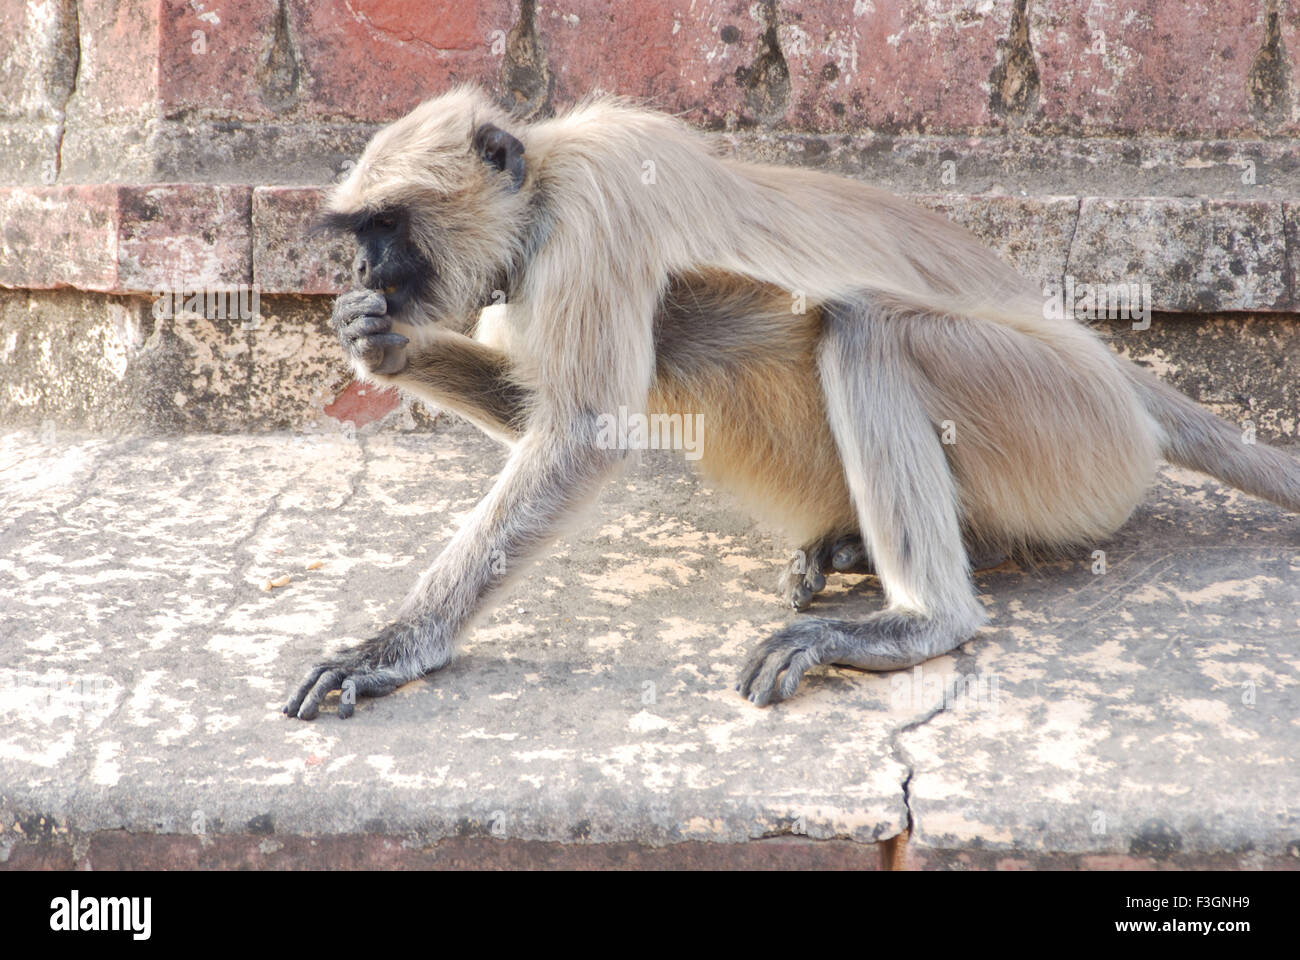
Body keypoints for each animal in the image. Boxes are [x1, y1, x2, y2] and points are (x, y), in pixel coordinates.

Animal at [284, 86, 1300, 719]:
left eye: (388, 228)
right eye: (363, 235)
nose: (366, 271)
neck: (546, 179)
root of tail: (1111, 370)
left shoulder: (599, 210)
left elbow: (589, 432)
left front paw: (395, 646)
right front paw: (380, 341)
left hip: (1071, 419)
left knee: (867, 328)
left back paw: (924, 618)